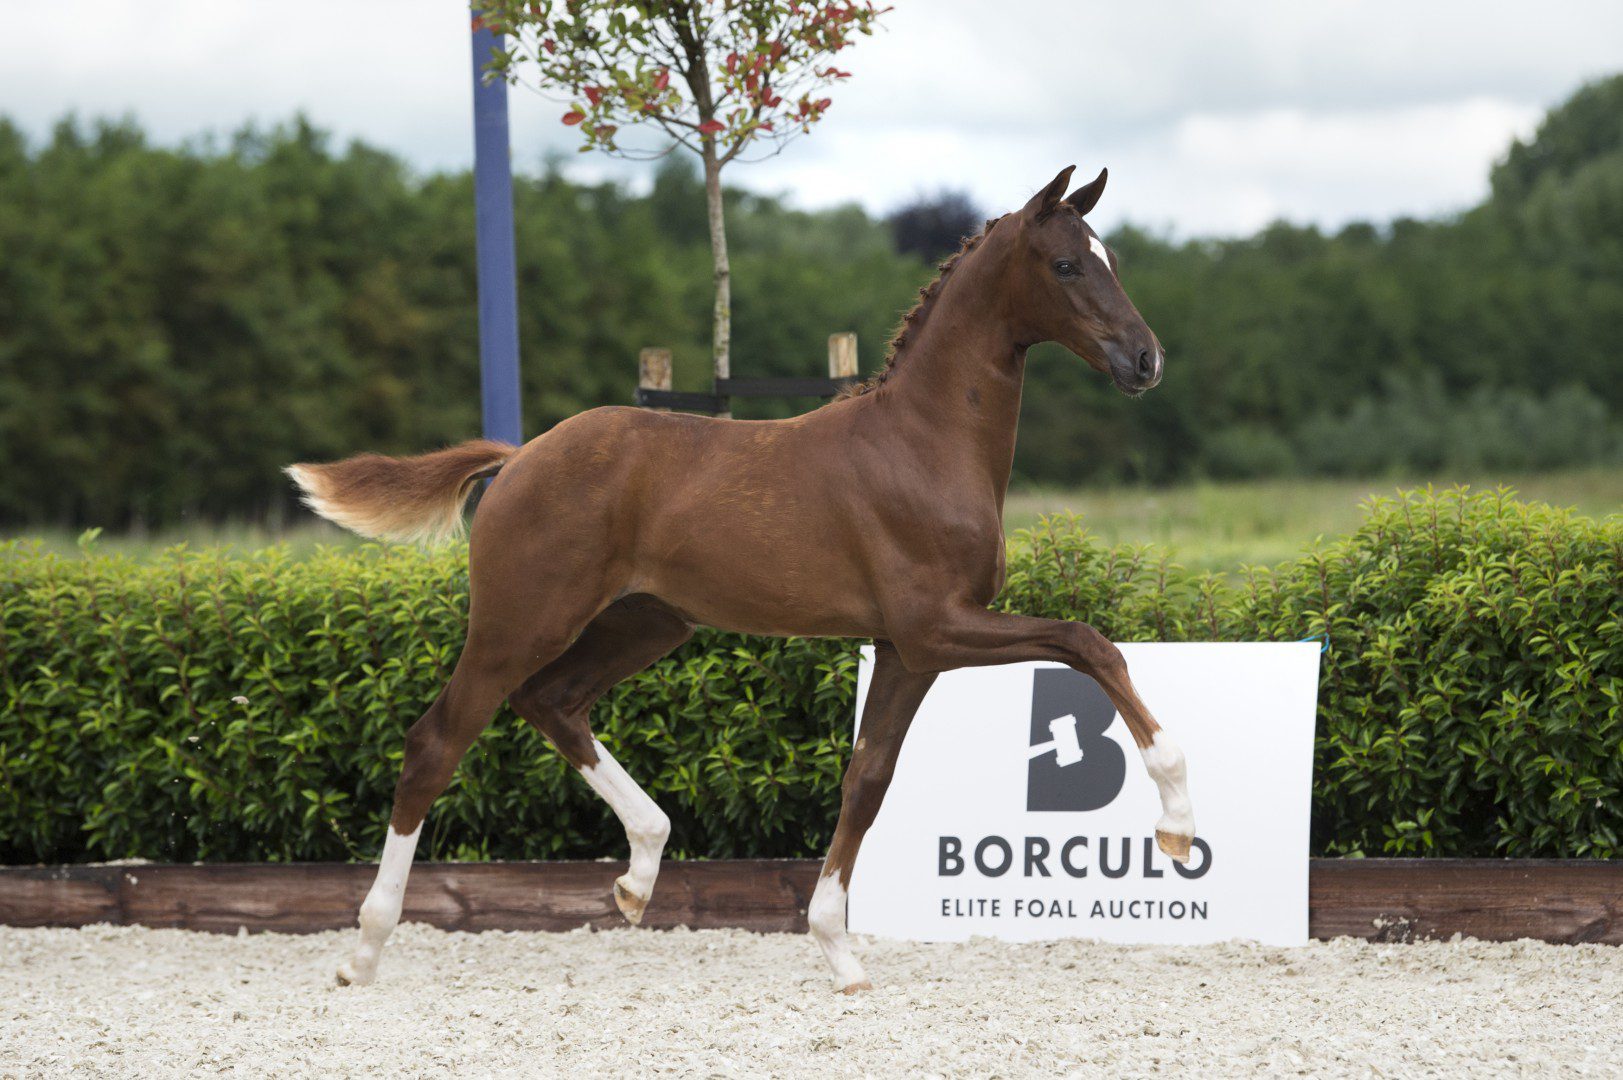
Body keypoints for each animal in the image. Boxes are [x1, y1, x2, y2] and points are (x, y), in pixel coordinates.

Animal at [287, 165, 1194, 993]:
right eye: (1066, 264)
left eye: (1108, 256)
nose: (1145, 359)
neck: (921, 443)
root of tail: (515, 459)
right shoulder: (938, 625)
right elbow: (1089, 643)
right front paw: (1177, 820)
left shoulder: (906, 649)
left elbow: (867, 778)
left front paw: (838, 951)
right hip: (521, 622)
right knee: (437, 741)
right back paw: (364, 949)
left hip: (644, 622)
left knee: (553, 702)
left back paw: (638, 875)